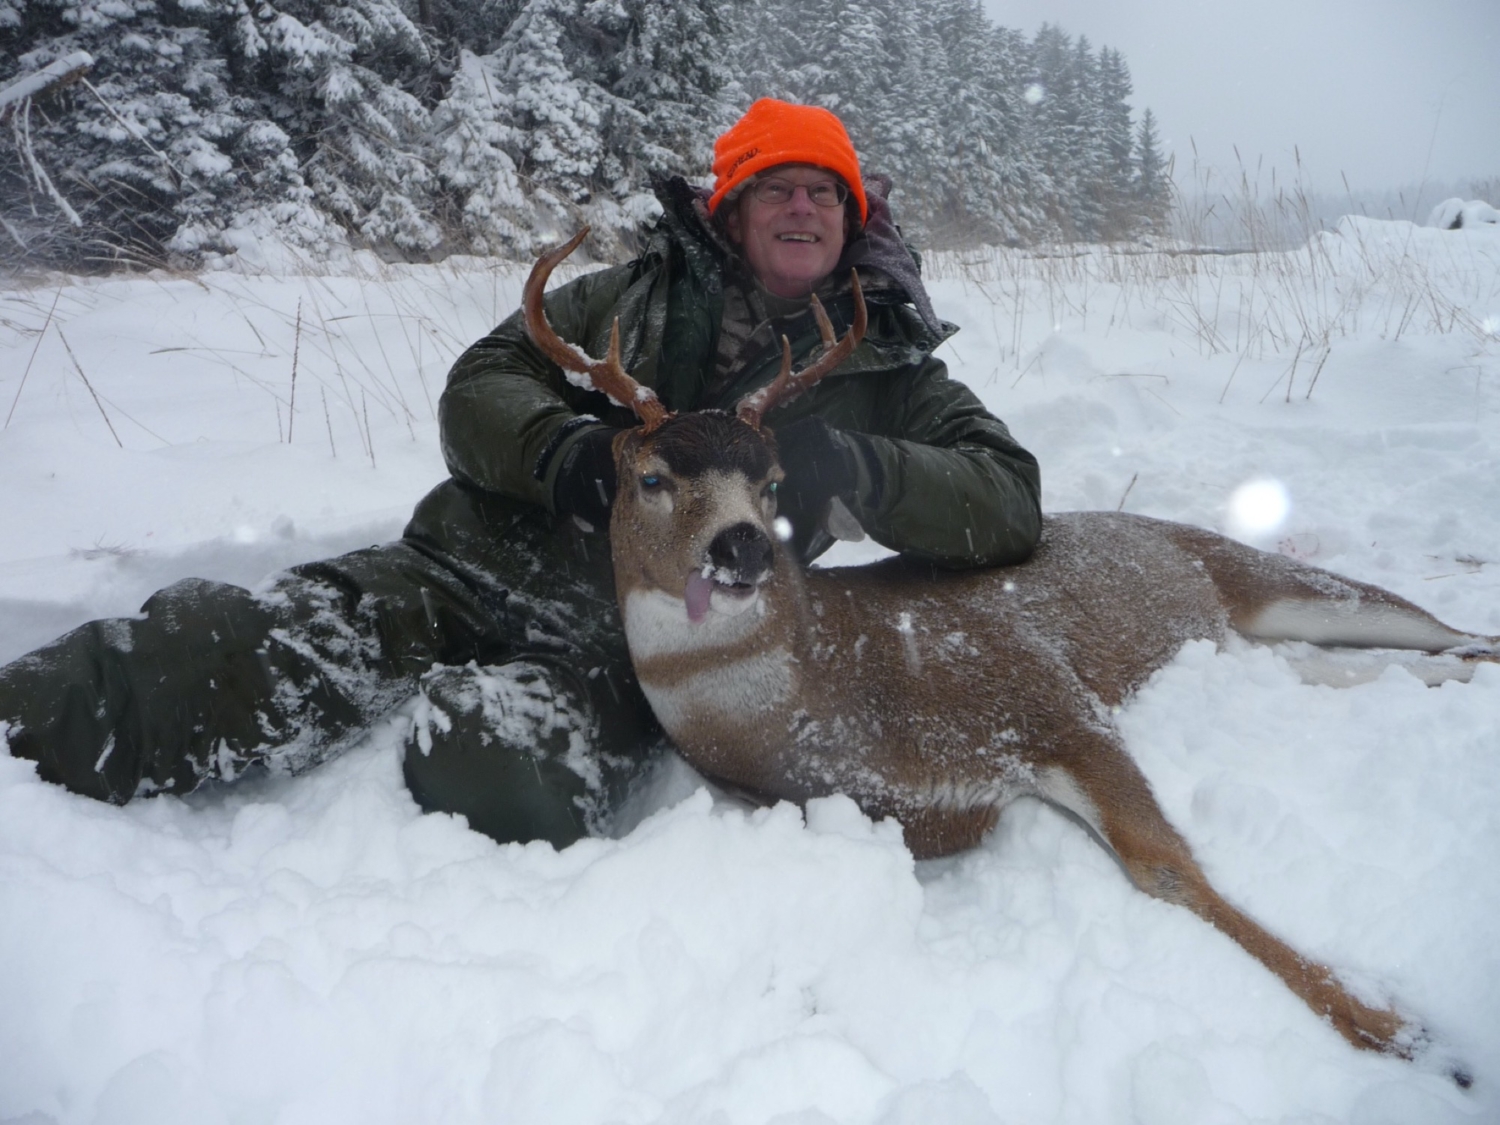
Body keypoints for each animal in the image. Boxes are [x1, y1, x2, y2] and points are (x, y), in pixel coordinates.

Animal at [523, 230, 1492, 1081]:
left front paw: (1399, 1029)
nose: (744, 547)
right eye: (649, 477)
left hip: (1273, 579)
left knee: (1441, 626)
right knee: (1355, 663)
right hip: (1256, 638)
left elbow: (1167, 867)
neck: (834, 690)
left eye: (771, 482)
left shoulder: (1045, 690)